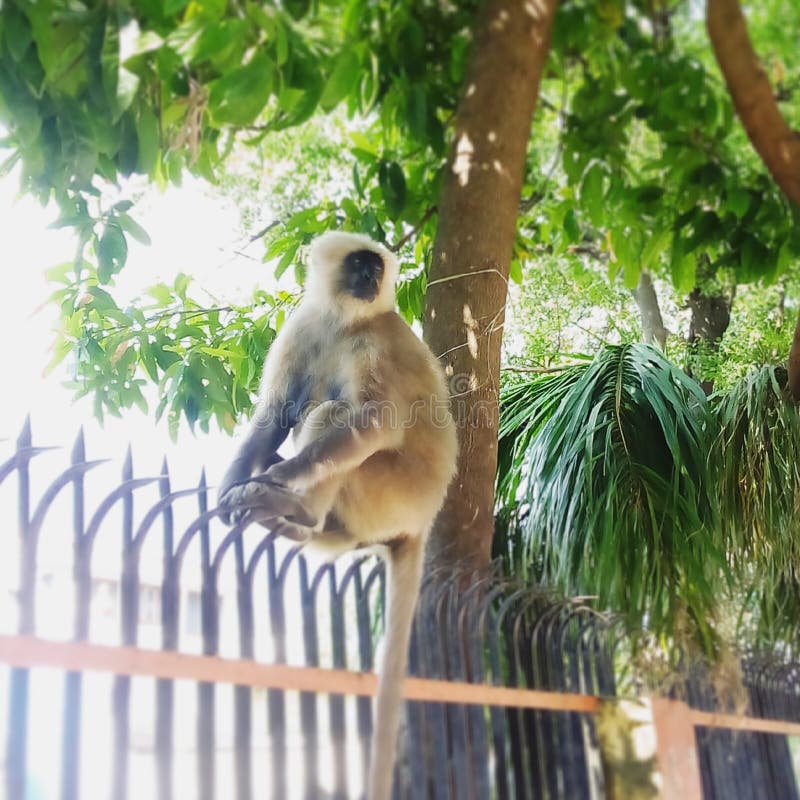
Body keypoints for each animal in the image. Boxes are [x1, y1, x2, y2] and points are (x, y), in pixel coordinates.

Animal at [217, 230, 458, 800]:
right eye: (359, 266)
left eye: (377, 269)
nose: (371, 280)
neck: (345, 321)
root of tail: (424, 513)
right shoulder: (305, 327)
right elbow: (273, 414)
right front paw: (230, 484)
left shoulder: (379, 340)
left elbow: (374, 426)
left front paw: (273, 480)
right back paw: (300, 523)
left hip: (392, 490)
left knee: (335, 413)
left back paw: (295, 504)